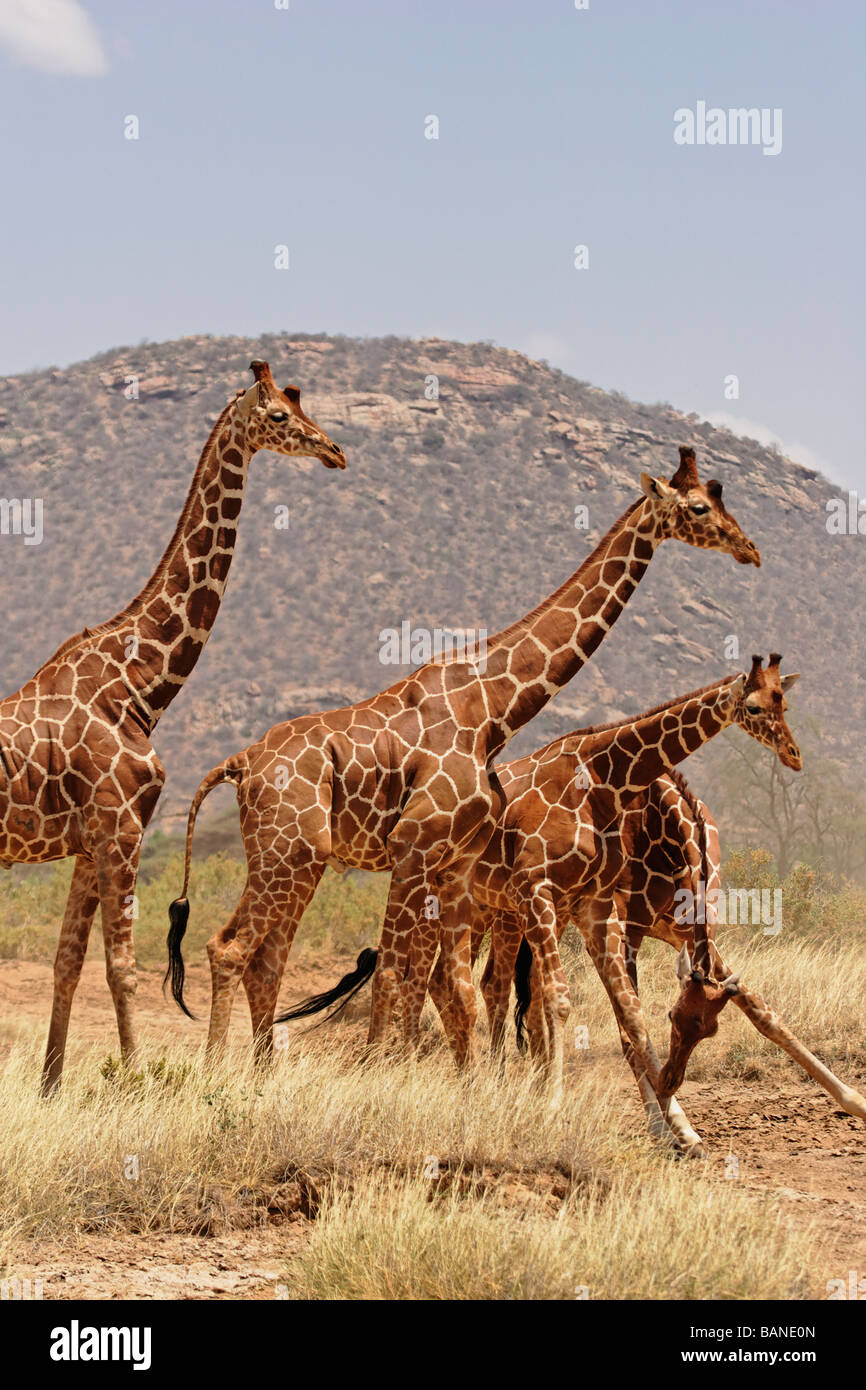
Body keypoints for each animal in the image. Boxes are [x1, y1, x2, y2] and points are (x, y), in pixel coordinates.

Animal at [1, 359, 345, 1092]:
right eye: (279, 415)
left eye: (302, 402)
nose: (335, 450)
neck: (139, 688)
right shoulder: (121, 828)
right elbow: (122, 969)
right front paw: (133, 1083)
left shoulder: (89, 842)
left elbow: (68, 964)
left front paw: (50, 1087)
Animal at [166, 445, 760, 1068]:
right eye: (699, 507)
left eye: (721, 498)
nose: (750, 549)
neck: (493, 710)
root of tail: (238, 764)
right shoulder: (412, 845)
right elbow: (395, 974)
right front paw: (384, 1068)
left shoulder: (454, 863)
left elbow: (455, 988)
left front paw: (453, 1075)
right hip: (287, 852)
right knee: (231, 948)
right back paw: (218, 1069)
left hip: (299, 858)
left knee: (268, 960)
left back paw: (261, 1071)